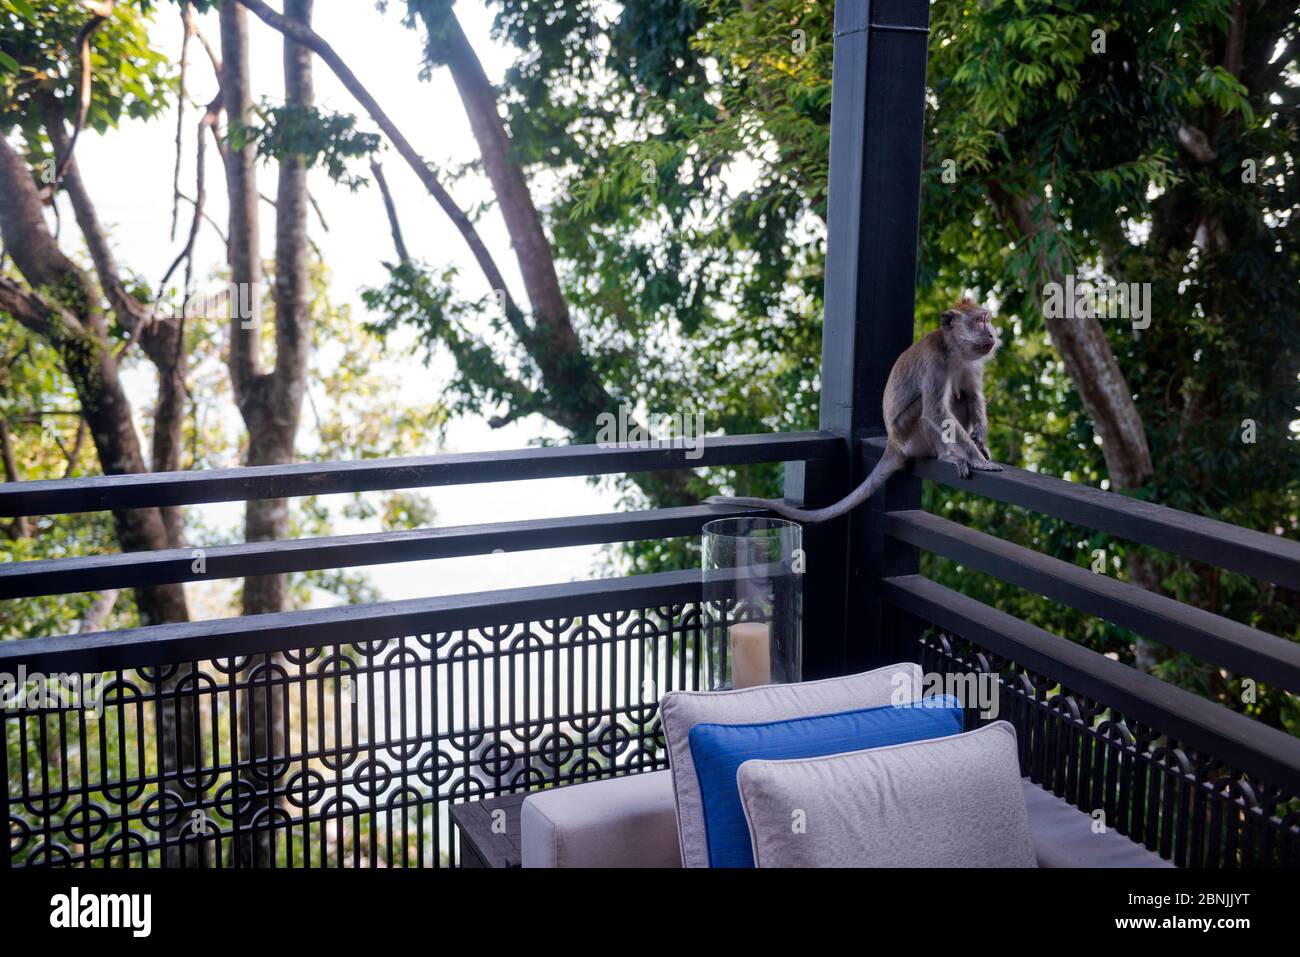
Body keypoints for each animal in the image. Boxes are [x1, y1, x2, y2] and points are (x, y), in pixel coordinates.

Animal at [709, 299, 1003, 523]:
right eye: (980, 320)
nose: (992, 334)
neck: (955, 352)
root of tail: (893, 443)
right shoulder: (934, 362)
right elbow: (935, 411)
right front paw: (976, 458)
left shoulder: (973, 365)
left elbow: (973, 396)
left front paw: (980, 442)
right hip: (911, 435)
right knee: (926, 409)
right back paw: (948, 455)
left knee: (961, 396)